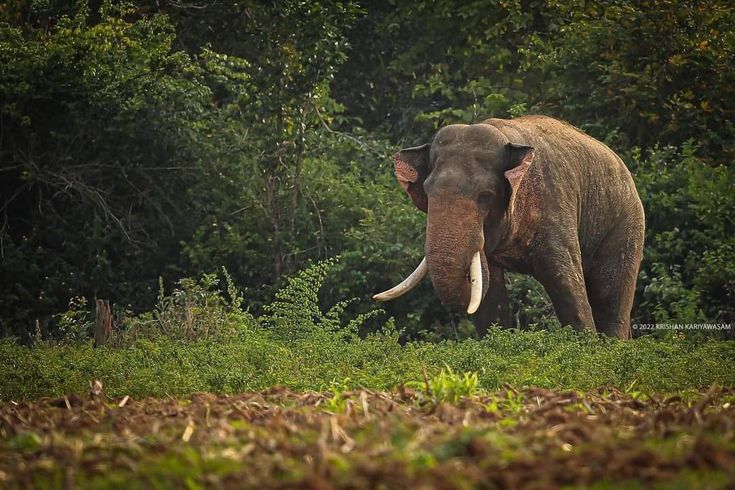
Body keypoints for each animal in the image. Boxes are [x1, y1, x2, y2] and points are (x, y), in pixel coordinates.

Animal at [373, 115, 644, 339]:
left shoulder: (554, 204)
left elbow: (567, 285)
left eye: (485, 195)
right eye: (428, 193)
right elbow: (490, 296)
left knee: (610, 299)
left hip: (627, 223)